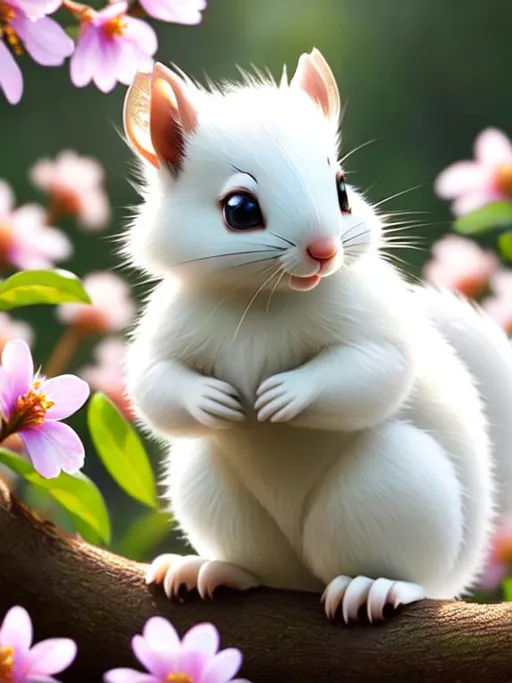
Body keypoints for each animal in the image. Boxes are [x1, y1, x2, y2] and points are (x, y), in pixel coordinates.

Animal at [121, 49, 512, 623]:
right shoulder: (167, 326)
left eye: (342, 189)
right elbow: (154, 386)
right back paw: (214, 569)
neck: (264, 301)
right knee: (263, 568)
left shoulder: (369, 322)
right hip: (213, 493)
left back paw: (374, 585)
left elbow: (373, 370)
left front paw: (286, 395)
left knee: (404, 574)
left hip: (392, 491)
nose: (324, 252)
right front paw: (210, 399)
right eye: (239, 210)